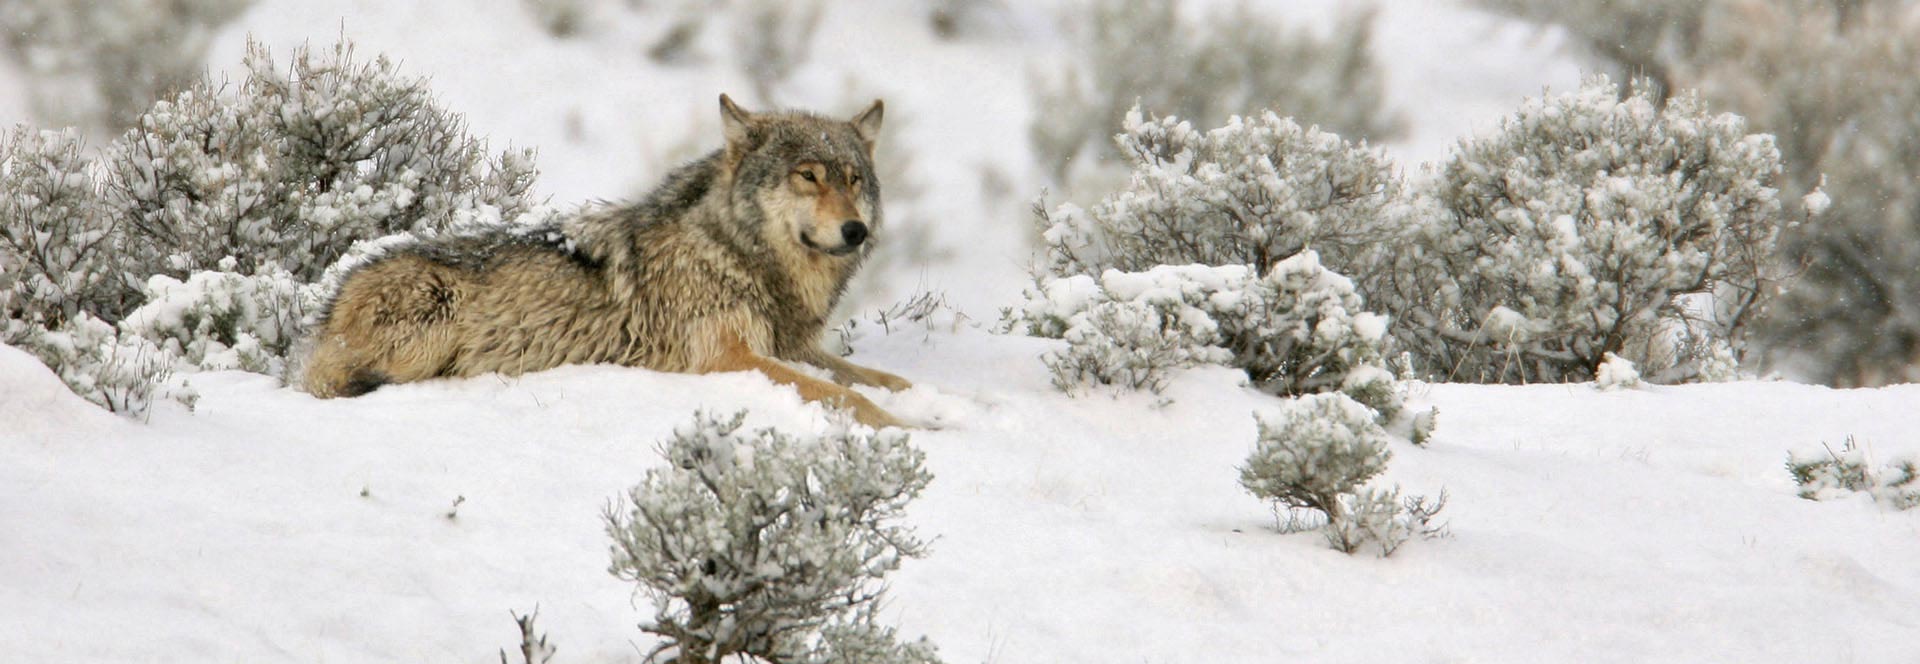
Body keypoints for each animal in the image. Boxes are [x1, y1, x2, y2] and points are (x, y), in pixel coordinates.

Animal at [301, 95, 912, 427]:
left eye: (853, 180)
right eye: (808, 175)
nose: (856, 231)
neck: (736, 252)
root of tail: (329, 307)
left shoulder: (794, 348)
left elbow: (884, 380)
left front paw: (928, 405)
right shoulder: (727, 355)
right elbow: (848, 396)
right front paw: (910, 428)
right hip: (435, 312)